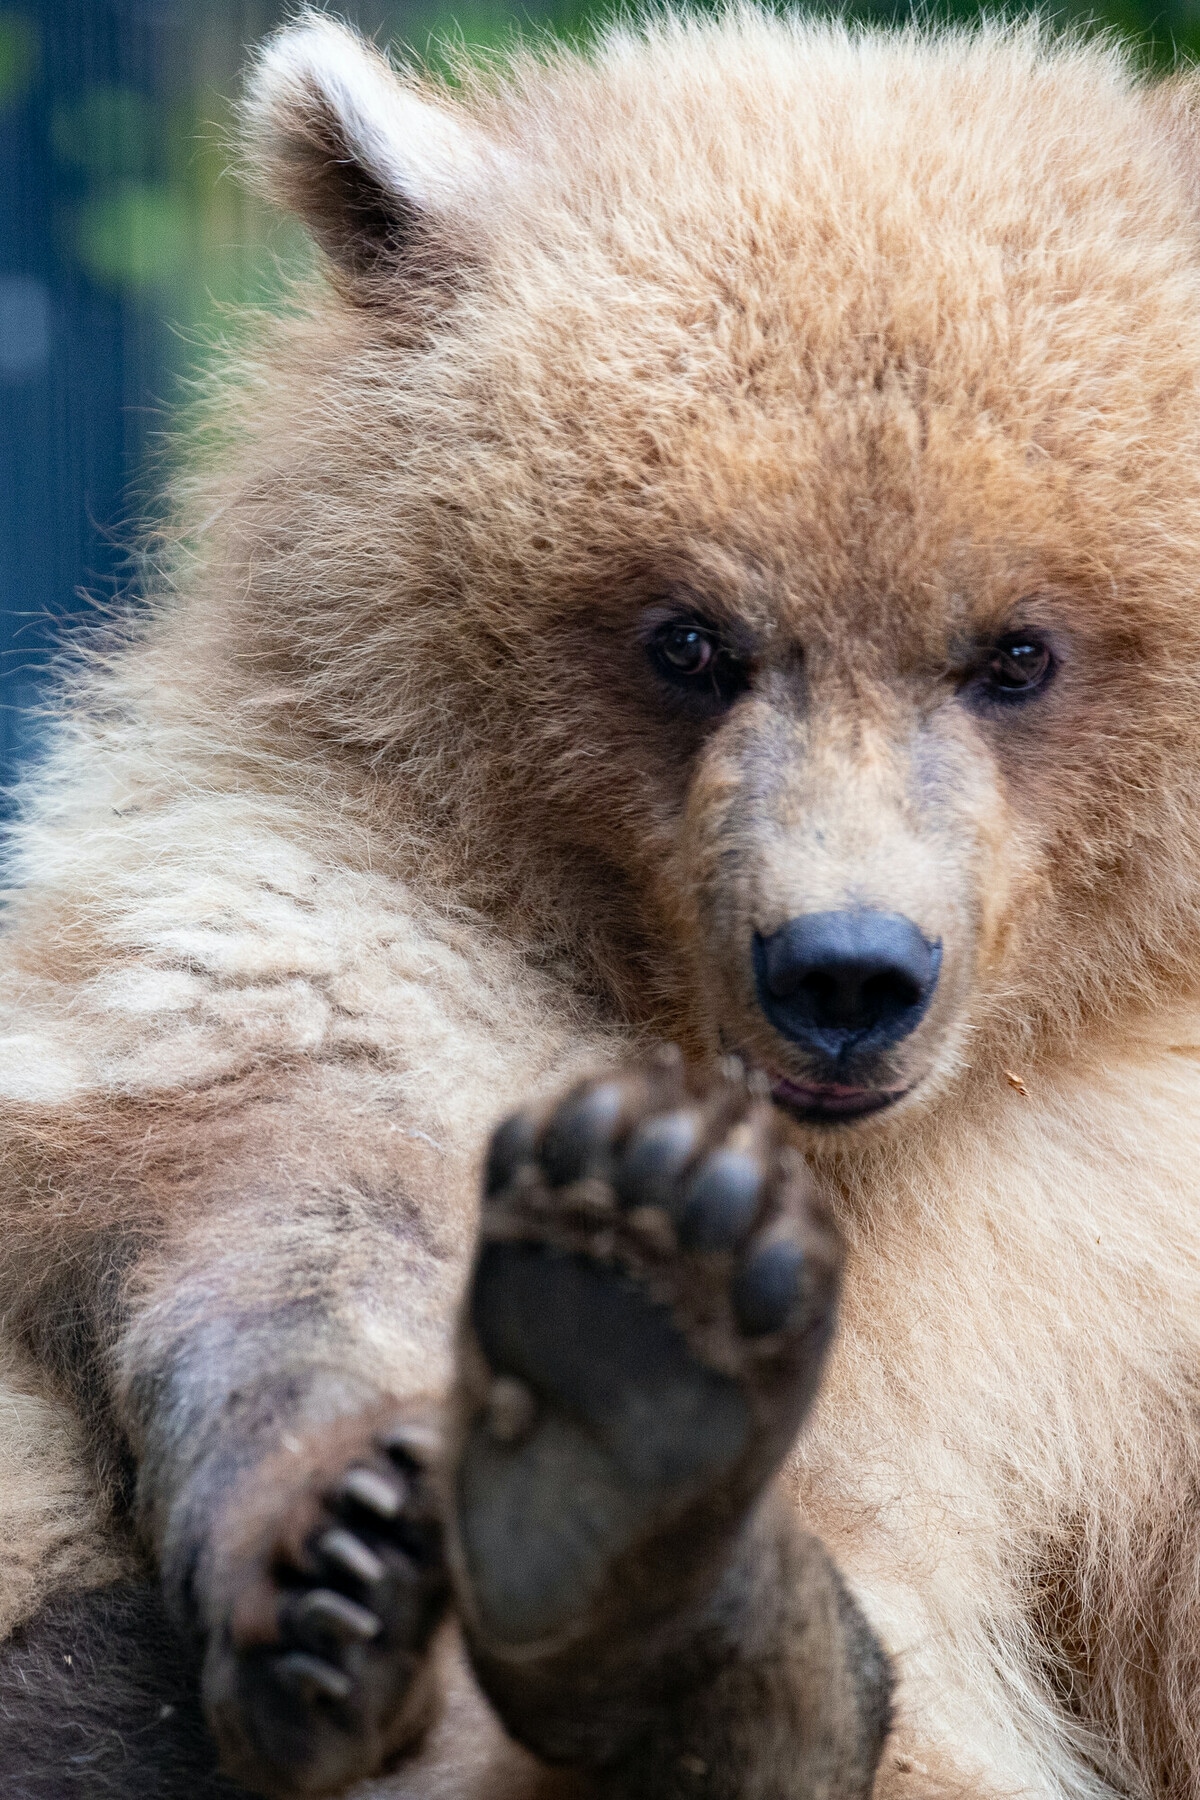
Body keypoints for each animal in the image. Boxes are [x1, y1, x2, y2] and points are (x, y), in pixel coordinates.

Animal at [4, 7, 1200, 1798]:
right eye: (688, 637)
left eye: (1017, 650)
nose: (845, 971)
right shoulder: (317, 936)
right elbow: (309, 1238)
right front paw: (573, 1431)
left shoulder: (1127, 1250)